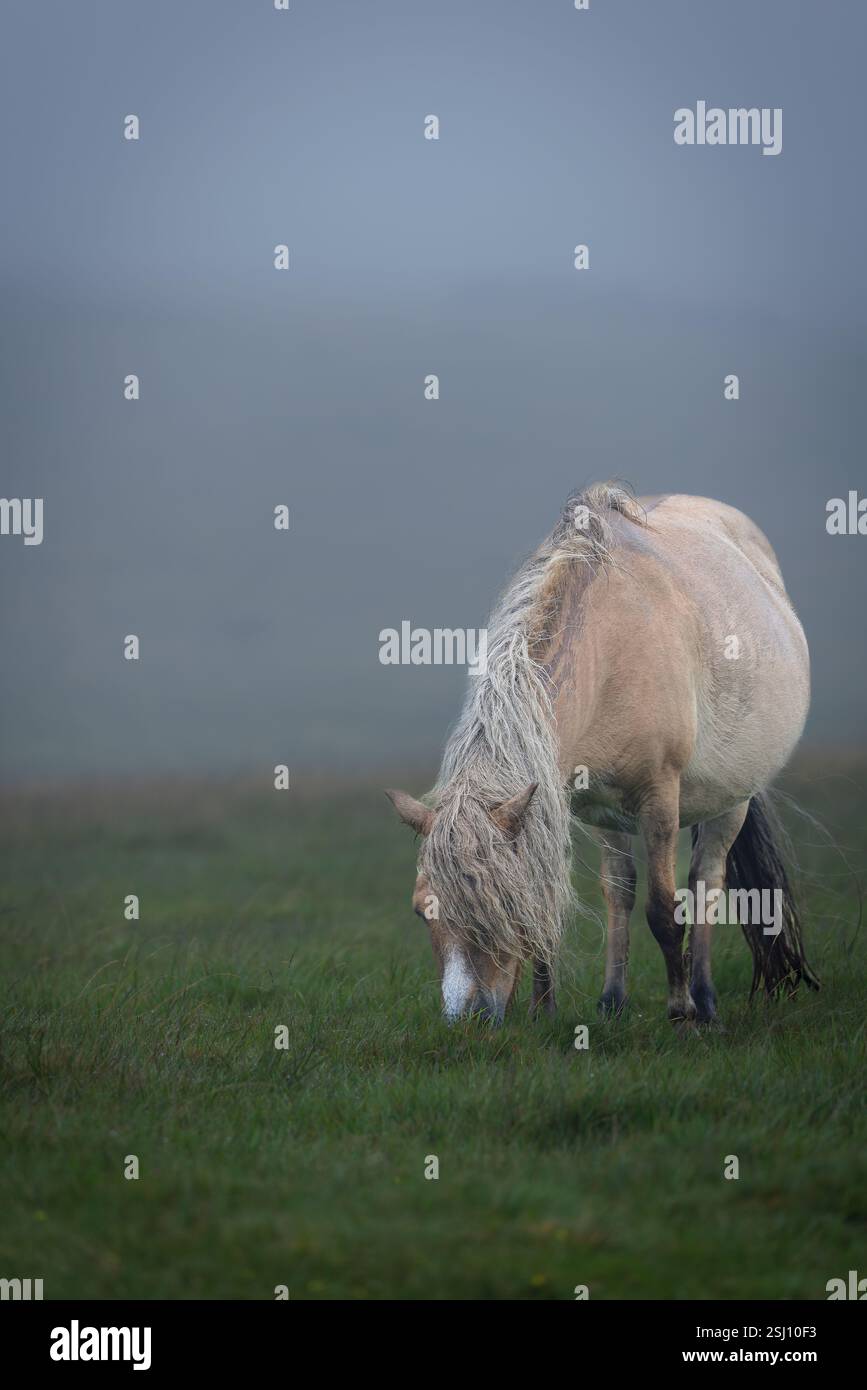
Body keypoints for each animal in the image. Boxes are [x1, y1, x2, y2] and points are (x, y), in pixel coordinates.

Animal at [386, 485, 819, 1026]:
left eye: (501, 904)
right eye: (421, 909)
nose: (466, 1020)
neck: (609, 652)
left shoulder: (660, 801)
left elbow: (664, 911)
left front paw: (680, 1013)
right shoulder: (568, 802)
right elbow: (563, 897)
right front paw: (545, 1011)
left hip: (732, 800)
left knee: (705, 882)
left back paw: (705, 1002)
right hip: (612, 818)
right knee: (620, 888)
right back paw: (614, 1000)